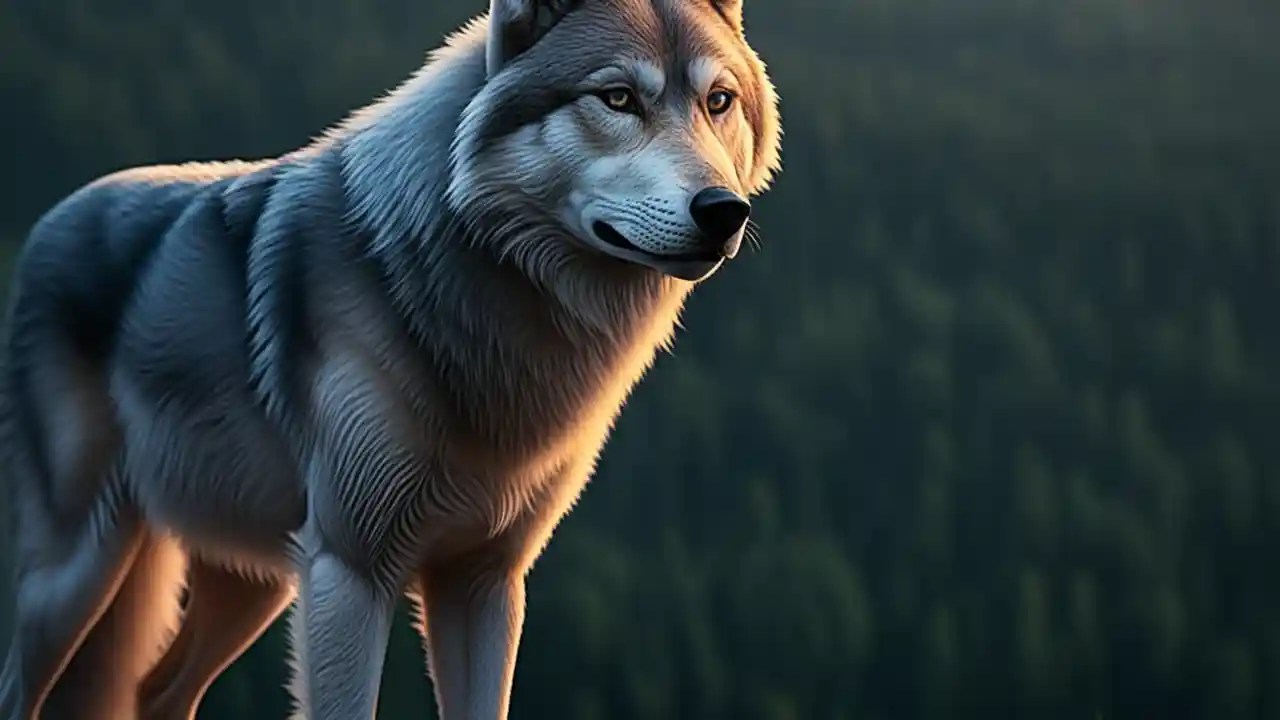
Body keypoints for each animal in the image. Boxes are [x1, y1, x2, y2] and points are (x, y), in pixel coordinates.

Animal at [0, 0, 781, 718]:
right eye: (617, 98)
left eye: (717, 102)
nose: (724, 210)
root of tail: (55, 215)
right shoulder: (350, 574)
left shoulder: (485, 581)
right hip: (77, 574)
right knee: (23, 685)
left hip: (253, 584)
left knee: (155, 692)